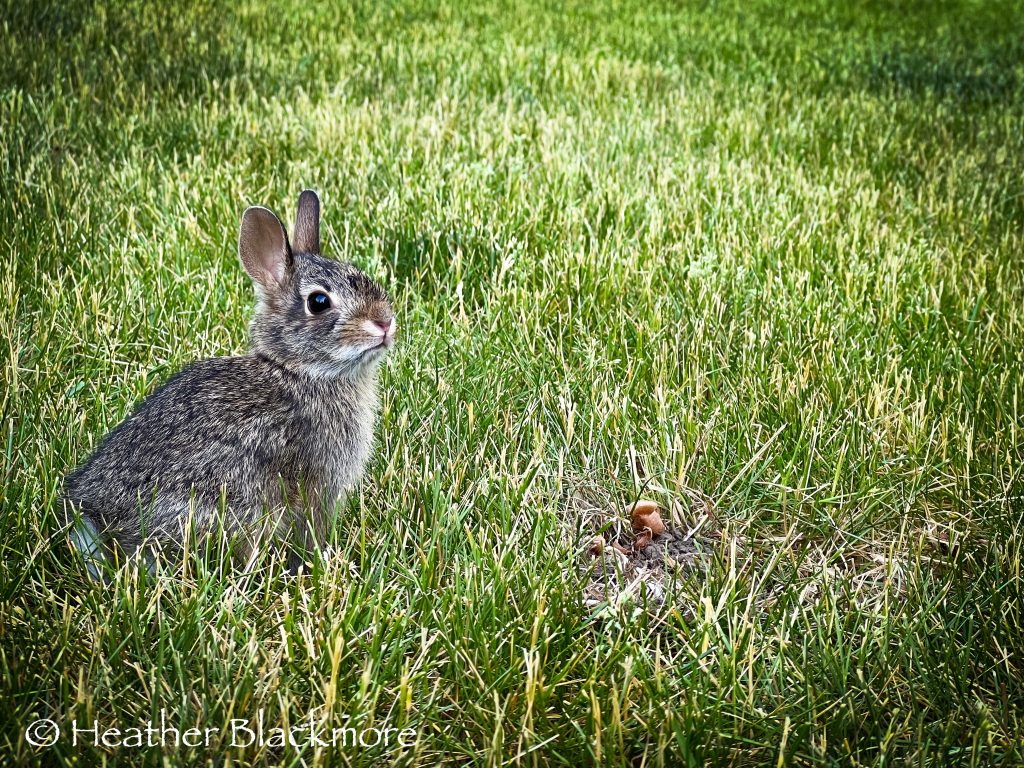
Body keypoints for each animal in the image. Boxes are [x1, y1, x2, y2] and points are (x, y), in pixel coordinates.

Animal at [63, 189, 396, 575]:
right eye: (318, 301)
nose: (385, 322)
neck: (296, 370)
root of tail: (96, 526)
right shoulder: (318, 485)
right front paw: (317, 561)